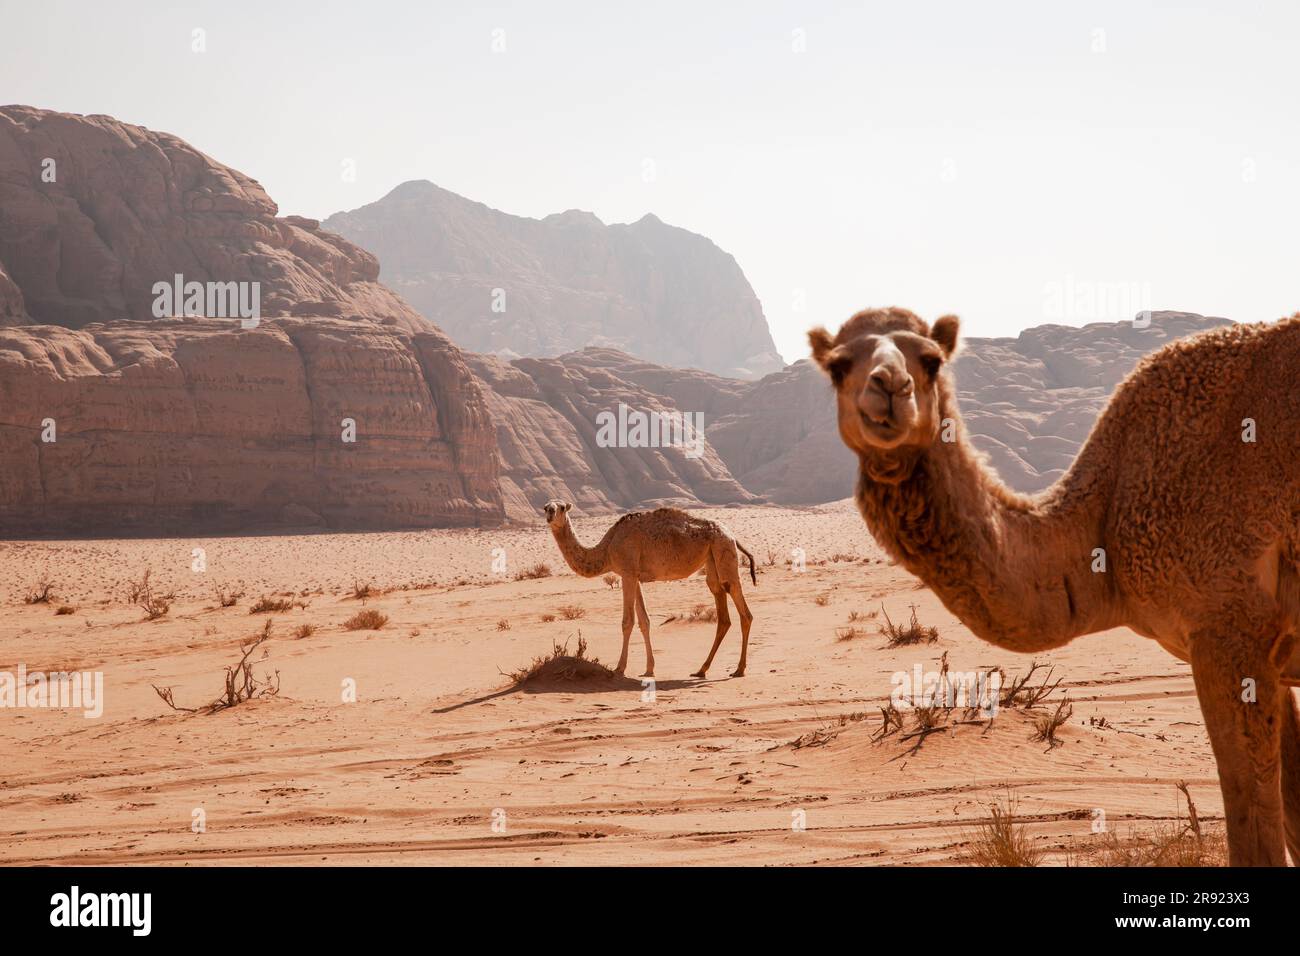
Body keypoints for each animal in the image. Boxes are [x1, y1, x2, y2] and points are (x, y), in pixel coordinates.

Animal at [541, 500, 756, 679]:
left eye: (561, 507)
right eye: (545, 507)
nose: (550, 512)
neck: (607, 549)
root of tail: (733, 536)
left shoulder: (627, 572)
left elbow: (627, 621)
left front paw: (619, 668)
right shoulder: (634, 576)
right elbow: (644, 621)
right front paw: (649, 669)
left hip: (724, 550)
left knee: (742, 608)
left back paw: (739, 669)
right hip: (712, 559)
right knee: (722, 608)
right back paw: (702, 670)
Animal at [807, 307, 1300, 867]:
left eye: (930, 360)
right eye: (837, 366)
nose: (890, 386)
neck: (1106, 517)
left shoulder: (1229, 626)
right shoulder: (1270, 653)